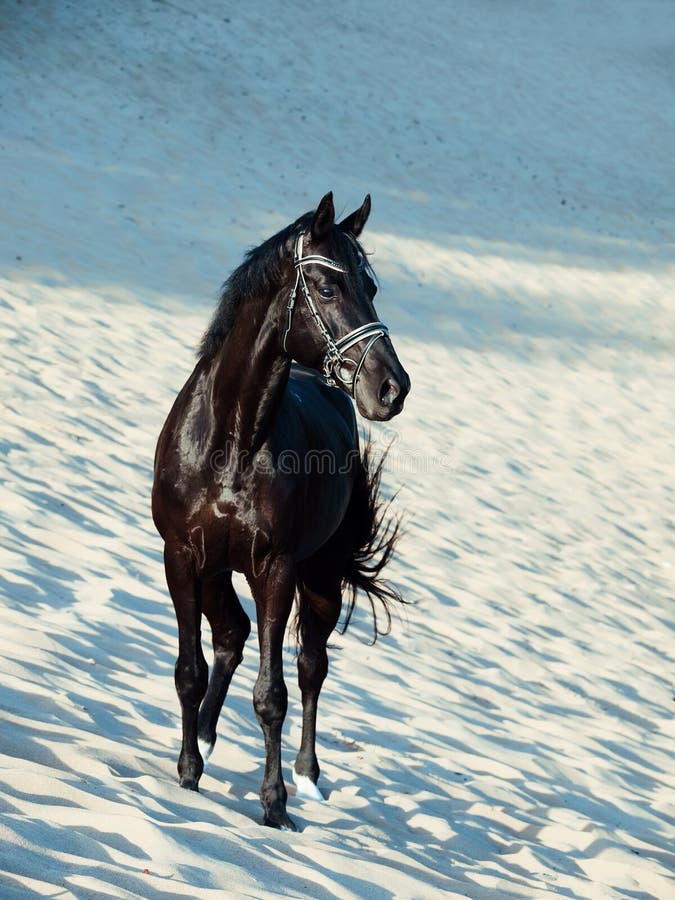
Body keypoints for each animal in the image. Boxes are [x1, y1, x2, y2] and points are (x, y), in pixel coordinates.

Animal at [152, 192, 410, 830]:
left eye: (372, 287)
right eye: (327, 287)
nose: (392, 388)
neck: (231, 441)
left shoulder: (277, 570)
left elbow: (273, 695)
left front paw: (275, 807)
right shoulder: (181, 556)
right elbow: (189, 671)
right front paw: (188, 774)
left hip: (319, 577)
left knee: (311, 664)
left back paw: (307, 776)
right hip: (217, 569)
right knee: (231, 634)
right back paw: (208, 739)